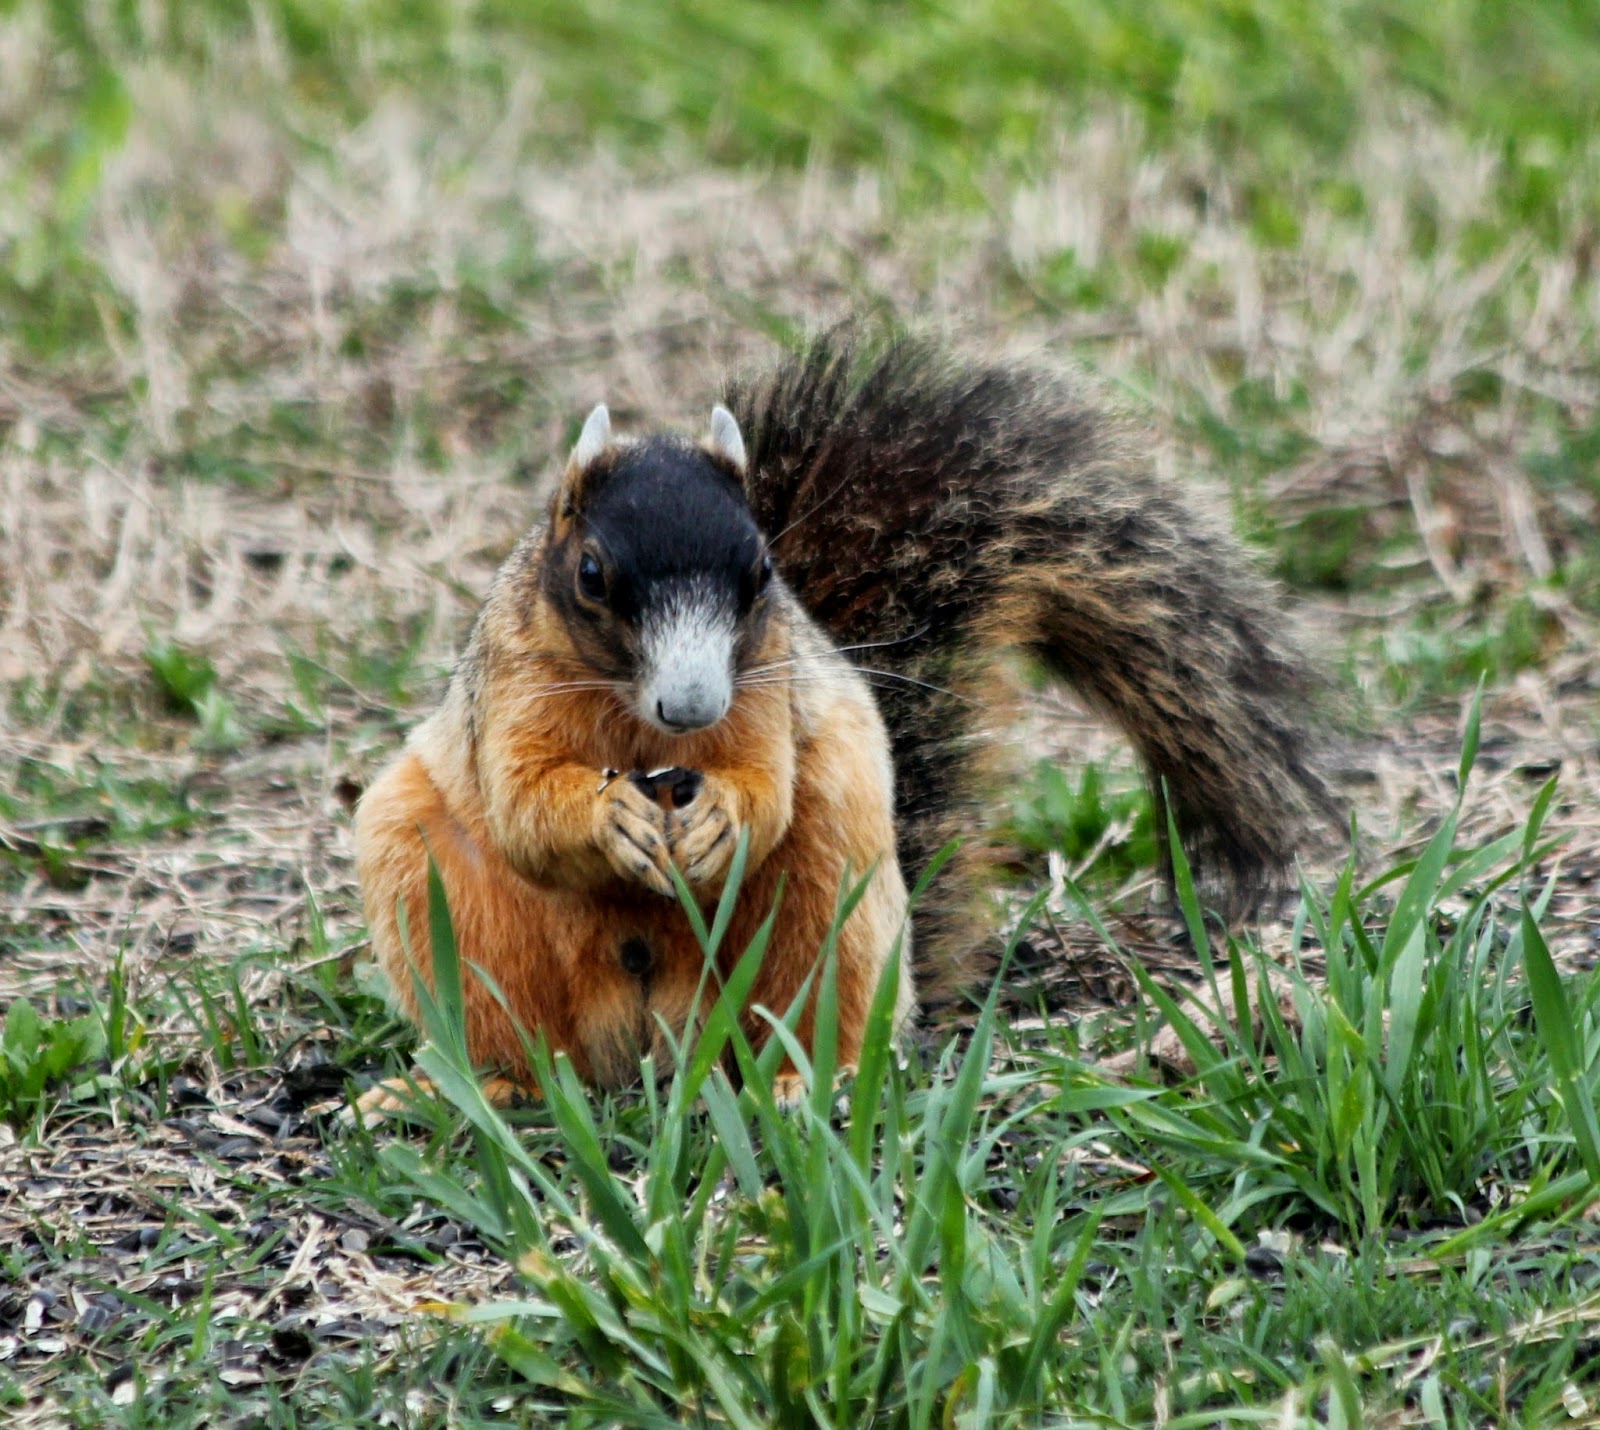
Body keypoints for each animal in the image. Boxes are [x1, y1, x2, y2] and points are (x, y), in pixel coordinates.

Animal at [353, 326, 1333, 1109]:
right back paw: (469, 1089)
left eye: (762, 572)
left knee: (818, 976)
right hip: (442, 897)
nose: (692, 705)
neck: (643, 727)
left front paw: (722, 820)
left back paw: (806, 1080)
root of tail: (658, 1045)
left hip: (836, 894)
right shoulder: (511, 686)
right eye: (592, 574)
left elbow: (769, 791)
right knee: (512, 1025)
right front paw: (608, 816)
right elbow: (523, 808)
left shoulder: (766, 691)